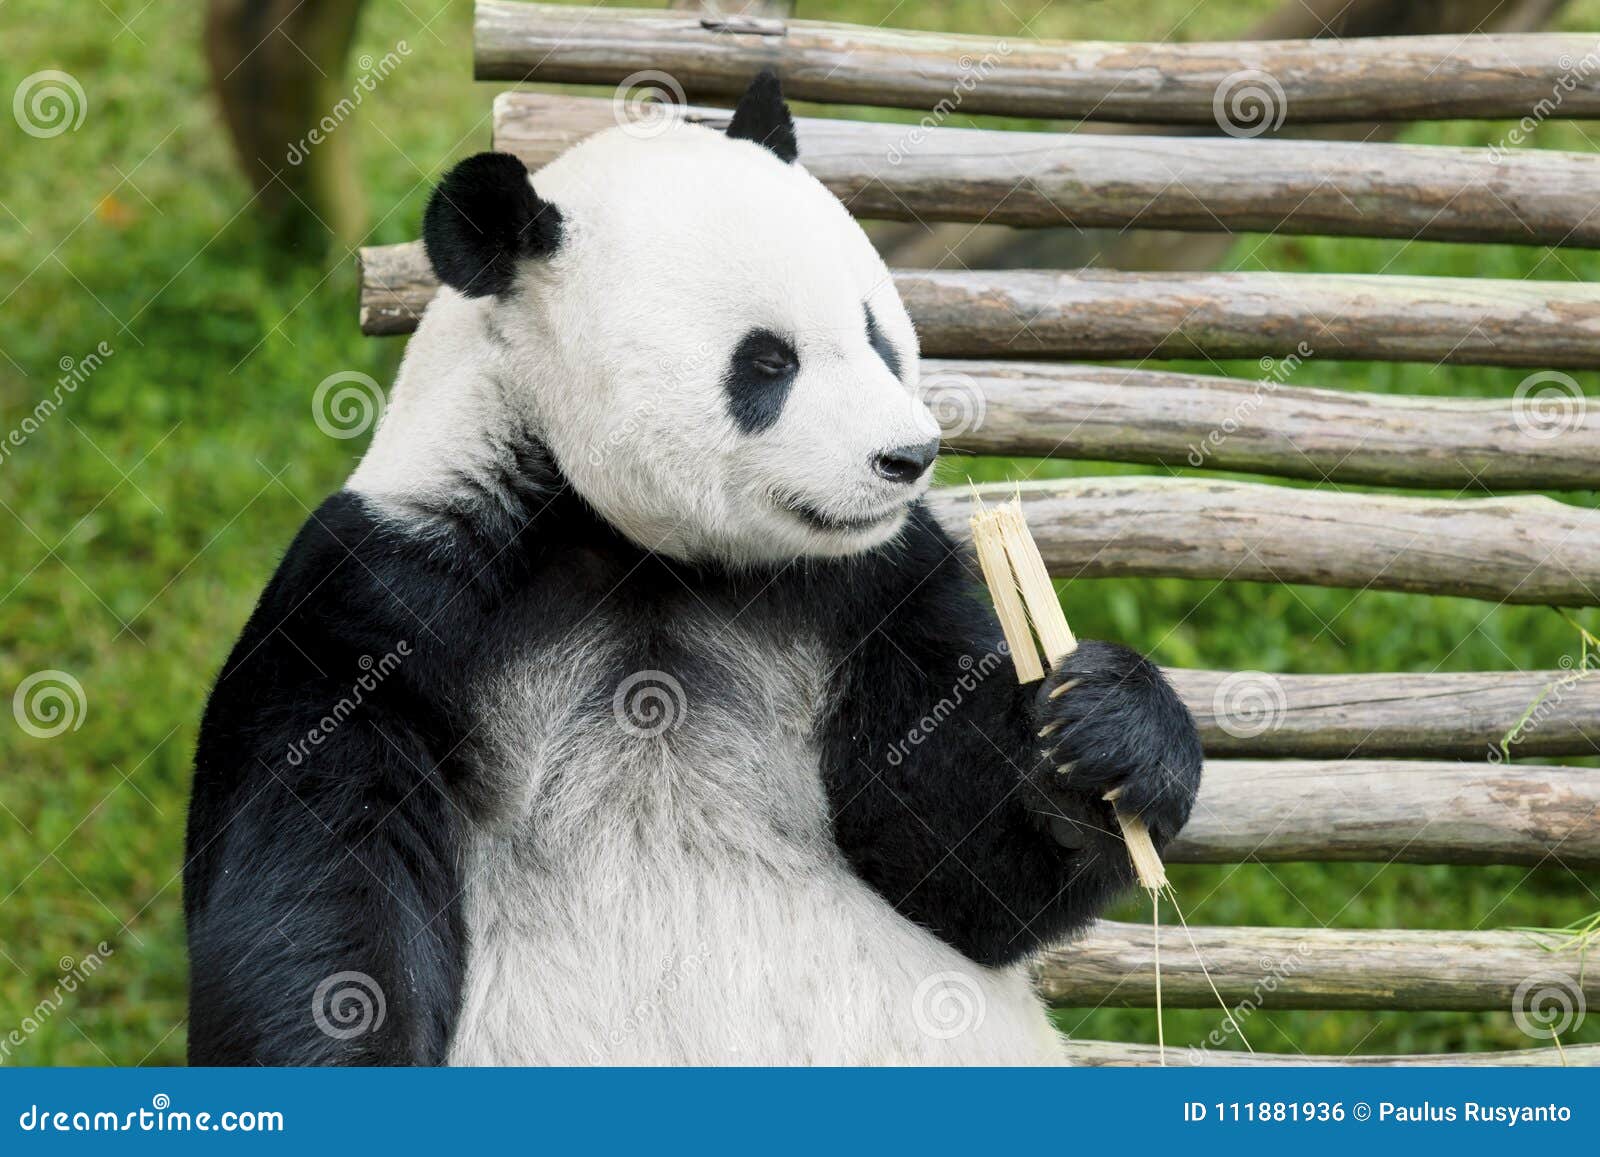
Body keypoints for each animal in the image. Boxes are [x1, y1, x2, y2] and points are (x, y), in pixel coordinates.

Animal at [184, 70, 1203, 1066]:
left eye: (876, 334)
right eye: (768, 362)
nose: (908, 457)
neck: (640, 549)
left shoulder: (876, 586)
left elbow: (954, 869)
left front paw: (1108, 735)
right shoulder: (383, 601)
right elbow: (325, 899)